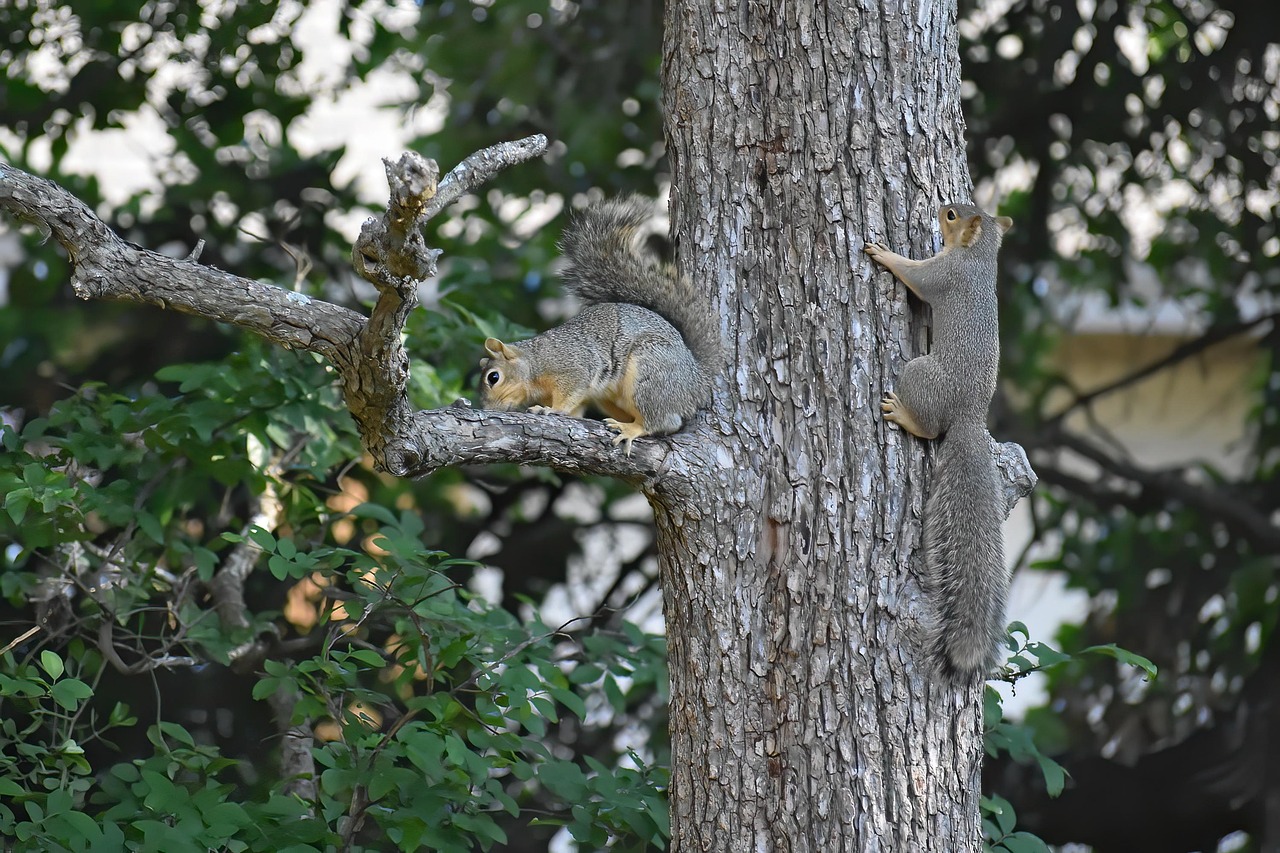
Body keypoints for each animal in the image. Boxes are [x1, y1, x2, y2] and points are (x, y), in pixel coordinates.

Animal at [479, 195, 720, 455]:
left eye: (493, 377)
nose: (487, 410)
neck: (534, 363)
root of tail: (697, 381)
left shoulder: (572, 367)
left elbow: (568, 395)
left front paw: (550, 410)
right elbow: (575, 410)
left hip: (652, 372)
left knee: (664, 421)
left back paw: (632, 428)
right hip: (612, 398)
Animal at [864, 203, 1014, 683]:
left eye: (951, 215)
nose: (938, 204)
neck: (978, 258)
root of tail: (968, 417)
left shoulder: (943, 274)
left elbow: (917, 276)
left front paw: (884, 253)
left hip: (920, 374)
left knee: (929, 429)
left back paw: (903, 415)